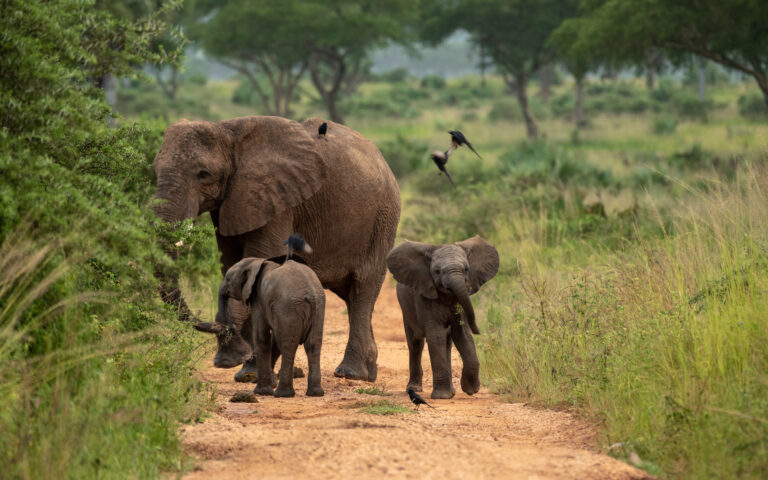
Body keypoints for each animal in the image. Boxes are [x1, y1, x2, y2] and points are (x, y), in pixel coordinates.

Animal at [153, 116, 401, 382]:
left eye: (203, 174)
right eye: (154, 170)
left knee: (363, 288)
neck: (228, 131)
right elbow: (232, 267)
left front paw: (249, 371)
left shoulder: (277, 201)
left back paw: (350, 373)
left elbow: (257, 263)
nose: (220, 328)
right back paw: (367, 372)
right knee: (352, 297)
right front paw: (244, 369)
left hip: (382, 222)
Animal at [195, 257, 325, 397]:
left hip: (288, 307)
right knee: (313, 345)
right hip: (318, 307)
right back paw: (315, 393)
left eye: (228, 278)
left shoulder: (259, 299)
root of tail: (309, 293)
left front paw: (261, 392)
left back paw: (282, 394)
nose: (218, 364)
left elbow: (261, 336)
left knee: (287, 345)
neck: (257, 262)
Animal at [386, 236, 499, 399]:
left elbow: (463, 334)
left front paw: (471, 389)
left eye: (466, 269)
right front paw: (442, 396)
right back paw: (414, 388)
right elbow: (436, 335)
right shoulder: (424, 296)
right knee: (415, 343)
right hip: (406, 309)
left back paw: (452, 391)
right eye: (437, 271)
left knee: (447, 344)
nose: (478, 330)